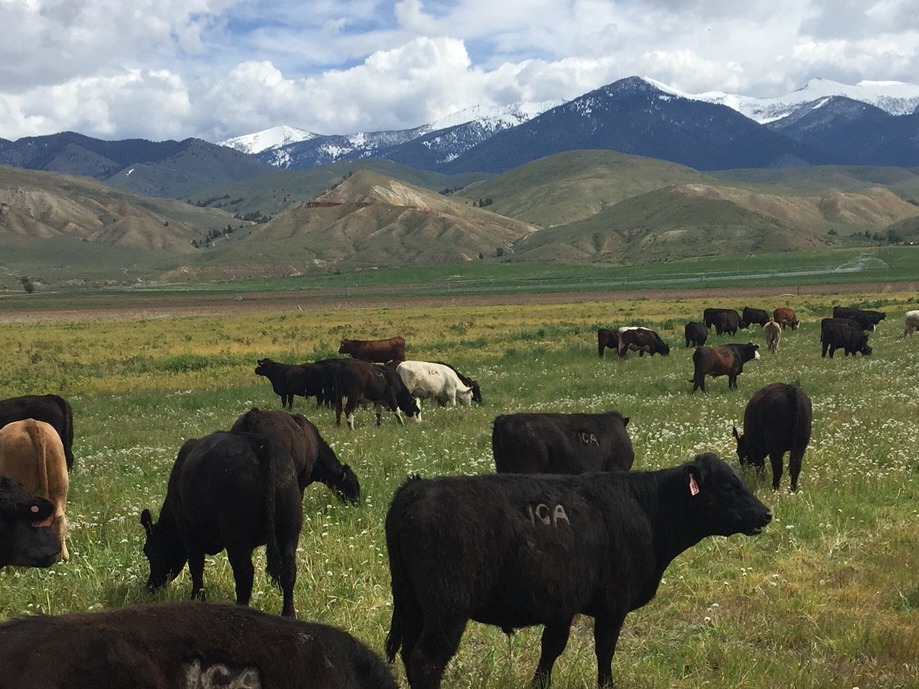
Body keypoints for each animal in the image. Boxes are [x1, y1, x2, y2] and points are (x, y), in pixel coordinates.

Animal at [140, 430, 302, 617]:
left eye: (148, 551)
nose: (150, 586)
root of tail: (258, 442)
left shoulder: (187, 530)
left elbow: (196, 565)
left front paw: (197, 599)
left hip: (236, 537)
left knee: (245, 575)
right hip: (289, 531)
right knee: (289, 571)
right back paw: (288, 615)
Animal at [384, 453, 771, 689]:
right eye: (729, 486)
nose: (766, 513)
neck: (647, 510)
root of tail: (417, 487)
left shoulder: (561, 604)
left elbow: (550, 651)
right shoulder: (613, 604)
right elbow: (604, 650)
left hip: (413, 603)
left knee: (408, 652)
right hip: (447, 606)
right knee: (425, 659)